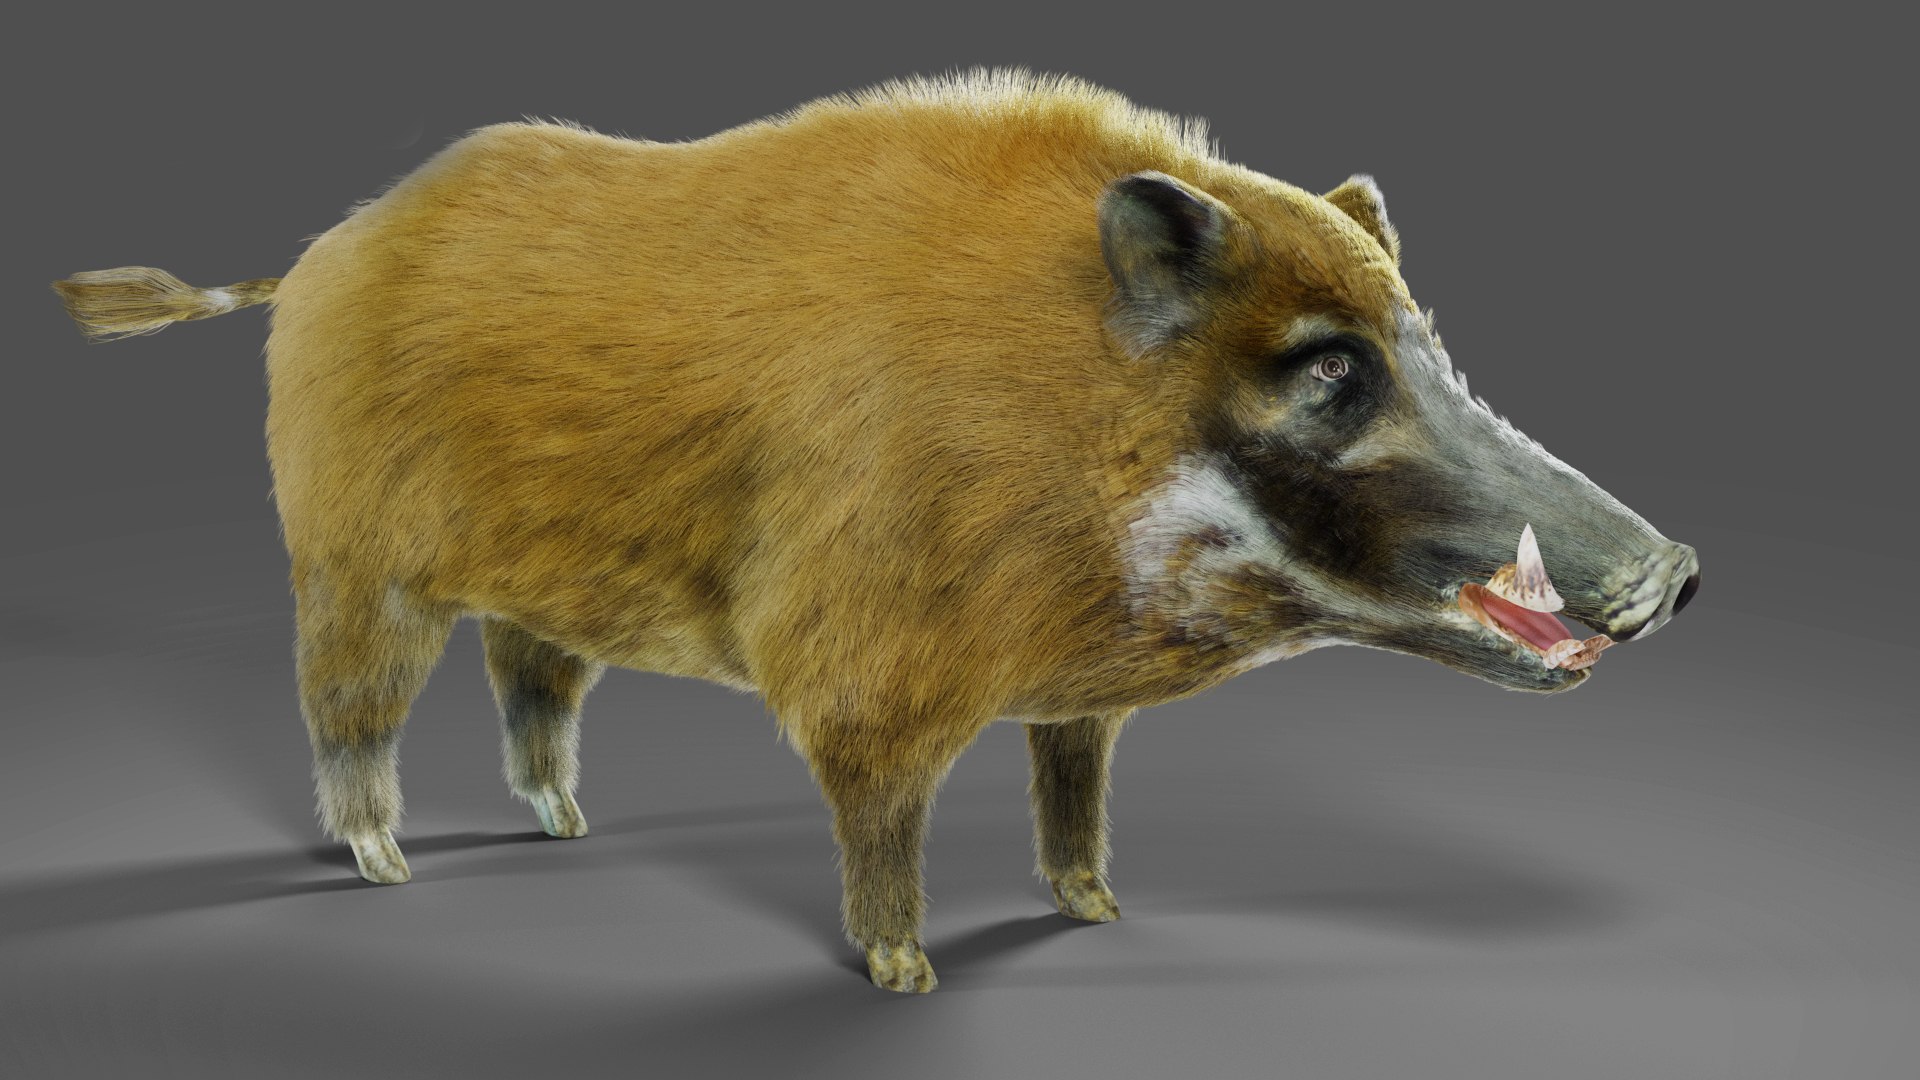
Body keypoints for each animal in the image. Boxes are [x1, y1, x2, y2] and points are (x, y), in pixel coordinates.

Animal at [52, 69, 1699, 992]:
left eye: (1428, 342)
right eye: (1330, 371)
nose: (1677, 570)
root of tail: (315, 256)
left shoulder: (1068, 699)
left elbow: (1072, 798)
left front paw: (1098, 911)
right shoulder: (865, 670)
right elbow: (880, 817)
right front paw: (904, 976)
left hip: (539, 592)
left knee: (531, 684)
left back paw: (567, 826)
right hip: (351, 559)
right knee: (348, 708)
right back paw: (389, 867)